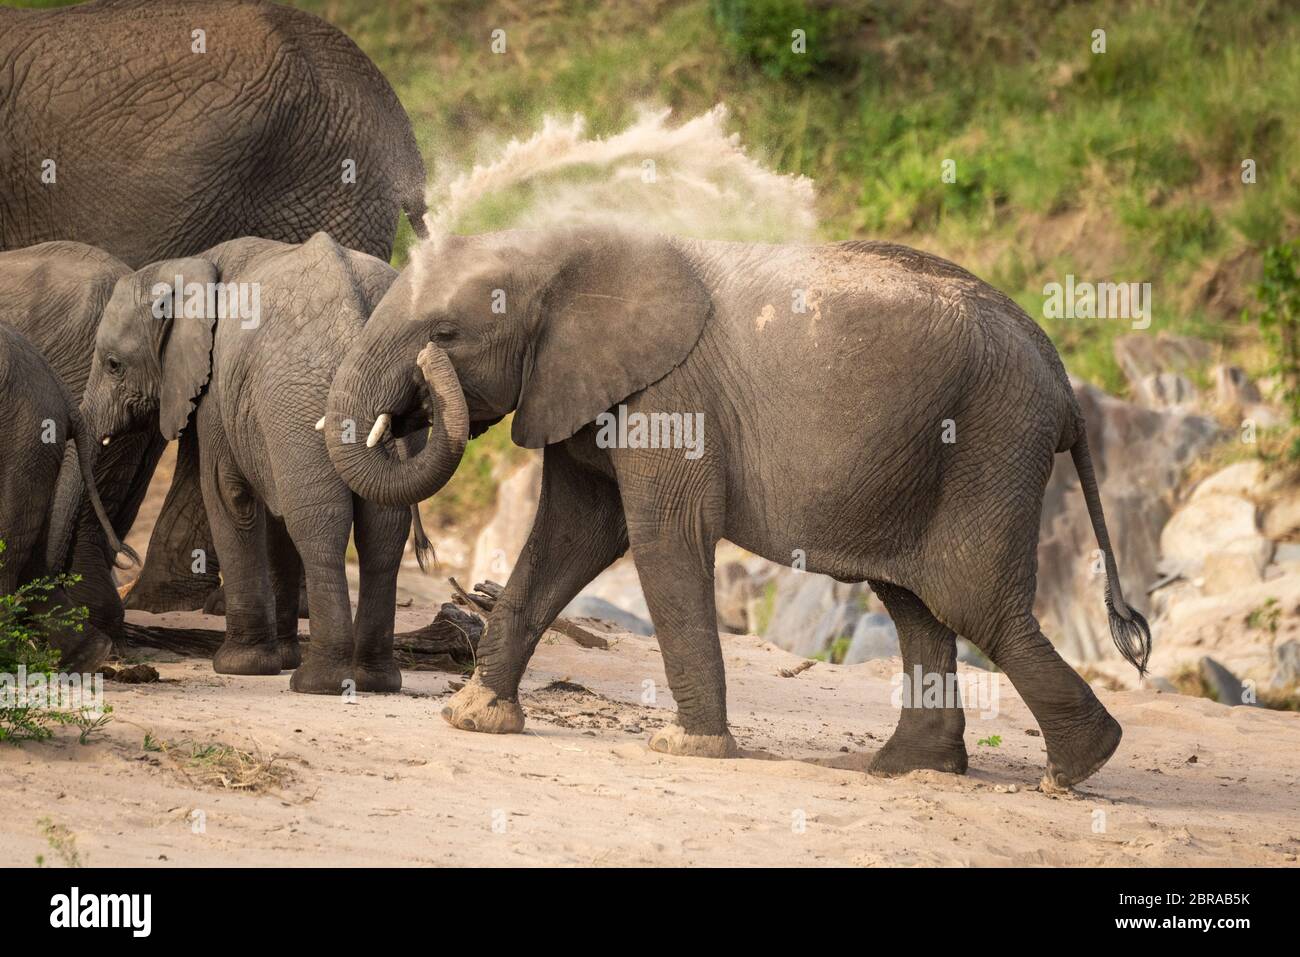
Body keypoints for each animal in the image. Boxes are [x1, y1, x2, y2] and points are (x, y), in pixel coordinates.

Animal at [78, 232, 422, 692]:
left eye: (114, 364)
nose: (123, 555)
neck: (193, 264)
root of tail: (356, 313)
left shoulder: (218, 391)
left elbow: (229, 496)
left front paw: (241, 666)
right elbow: (275, 514)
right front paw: (283, 657)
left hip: (296, 400)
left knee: (319, 524)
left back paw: (318, 683)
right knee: (382, 531)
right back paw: (374, 680)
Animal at [320, 225, 1152, 789]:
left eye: (446, 333)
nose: (425, 387)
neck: (566, 245)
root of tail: (1064, 382)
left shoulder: (669, 397)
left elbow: (659, 537)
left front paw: (684, 748)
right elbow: (571, 534)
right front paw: (474, 716)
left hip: (991, 444)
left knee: (971, 601)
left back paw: (1075, 768)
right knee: (914, 600)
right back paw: (906, 768)